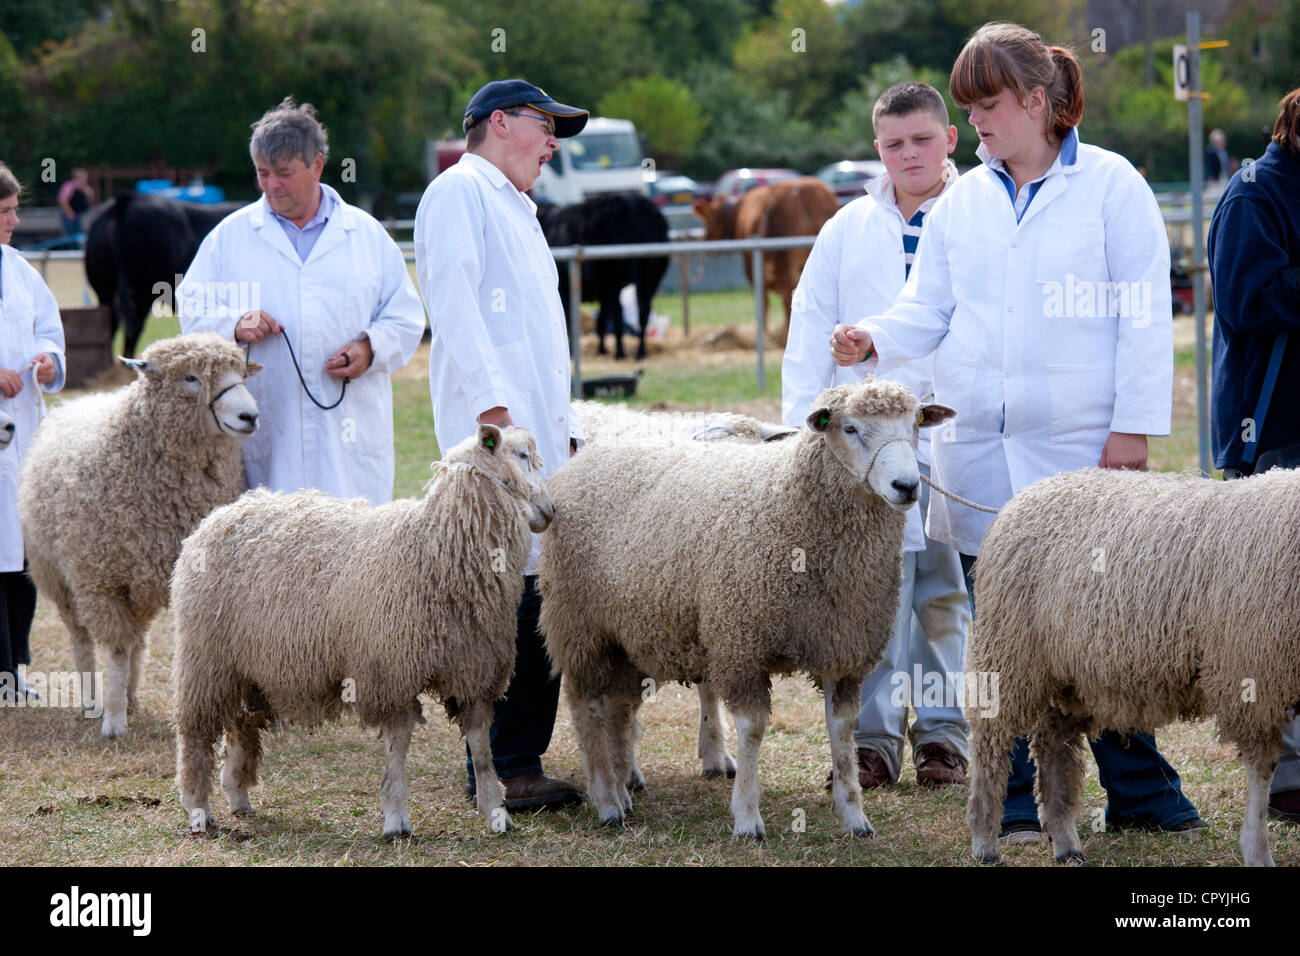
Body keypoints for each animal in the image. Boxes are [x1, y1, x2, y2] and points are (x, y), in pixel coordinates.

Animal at [18, 333, 259, 739]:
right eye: (191, 378)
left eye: (243, 375)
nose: (250, 416)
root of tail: (79, 401)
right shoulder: (101, 581)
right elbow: (115, 650)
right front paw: (113, 722)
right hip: (58, 576)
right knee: (82, 638)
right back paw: (92, 700)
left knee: (138, 641)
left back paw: (131, 697)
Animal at [171, 424, 553, 839]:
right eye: (521, 456)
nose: (551, 511)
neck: (435, 551)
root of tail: (222, 513)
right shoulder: (391, 670)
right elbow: (398, 746)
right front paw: (395, 818)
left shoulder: (474, 671)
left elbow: (481, 746)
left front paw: (495, 810)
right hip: (204, 656)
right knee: (195, 734)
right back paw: (198, 808)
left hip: (246, 665)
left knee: (241, 725)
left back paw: (238, 796)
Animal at [966, 466, 1300, 867]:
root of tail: (1022, 497)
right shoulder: (1251, 673)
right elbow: (1262, 768)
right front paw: (1257, 850)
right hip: (1009, 654)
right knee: (990, 743)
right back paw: (985, 840)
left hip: (1064, 674)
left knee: (1053, 748)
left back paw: (1065, 842)